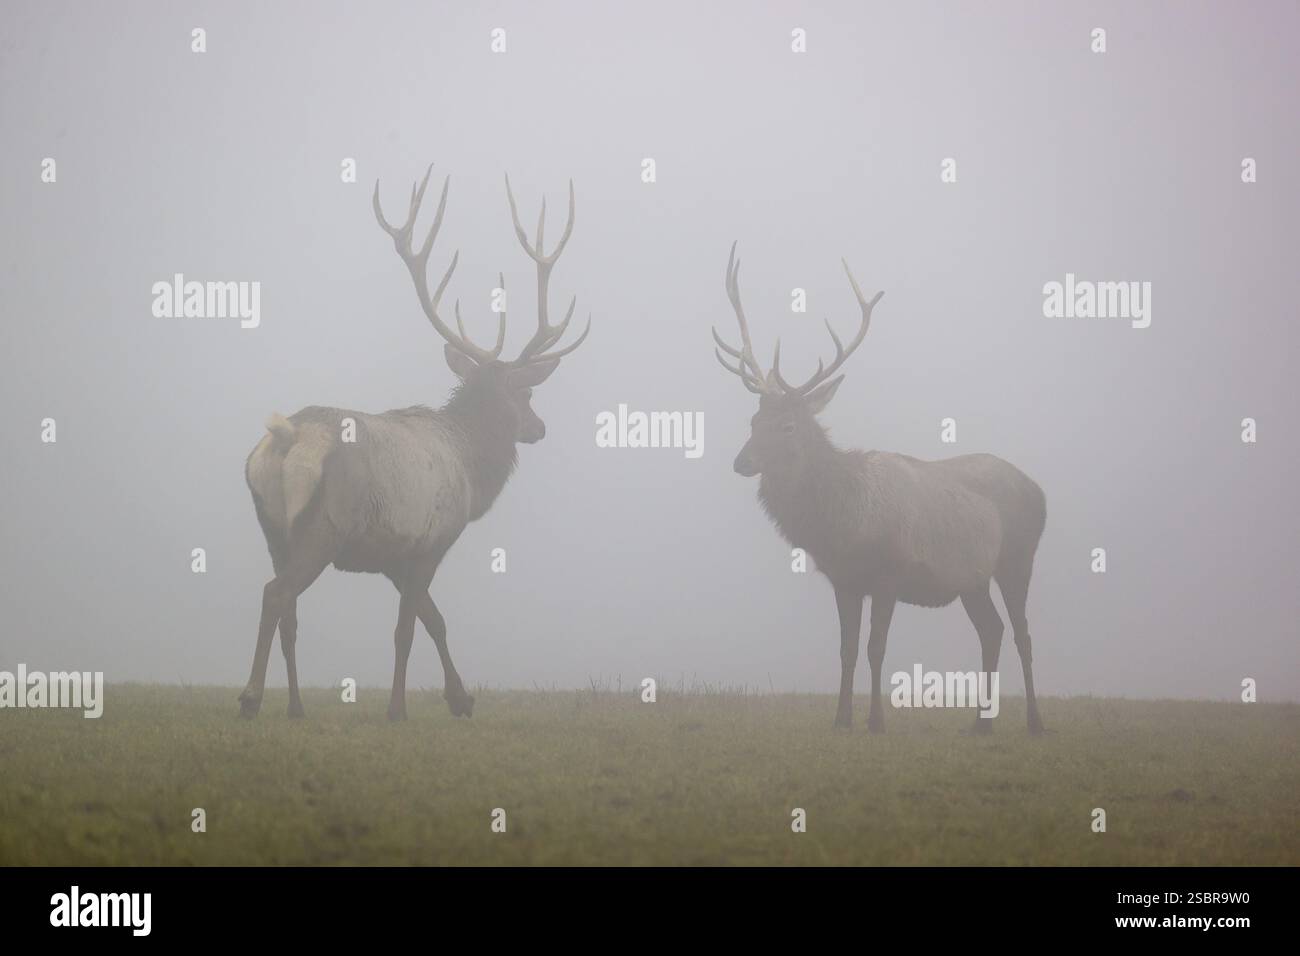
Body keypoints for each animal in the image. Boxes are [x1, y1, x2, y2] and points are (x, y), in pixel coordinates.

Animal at [239, 164, 590, 721]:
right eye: (527, 392)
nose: (539, 428)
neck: (473, 472)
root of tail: (286, 439)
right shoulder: (432, 539)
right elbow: (411, 627)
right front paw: (401, 708)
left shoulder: (391, 557)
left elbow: (432, 619)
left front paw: (460, 698)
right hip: (323, 526)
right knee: (277, 594)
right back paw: (251, 697)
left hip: (272, 526)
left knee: (289, 610)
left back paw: (294, 706)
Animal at [713, 243, 1047, 734]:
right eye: (753, 420)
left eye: (788, 425)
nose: (742, 462)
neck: (843, 523)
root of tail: (1041, 493)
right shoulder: (844, 580)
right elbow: (847, 649)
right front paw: (840, 720)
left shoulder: (890, 573)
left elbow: (876, 648)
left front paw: (874, 721)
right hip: (972, 579)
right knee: (993, 630)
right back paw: (981, 722)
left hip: (1017, 560)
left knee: (1022, 632)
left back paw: (1035, 722)